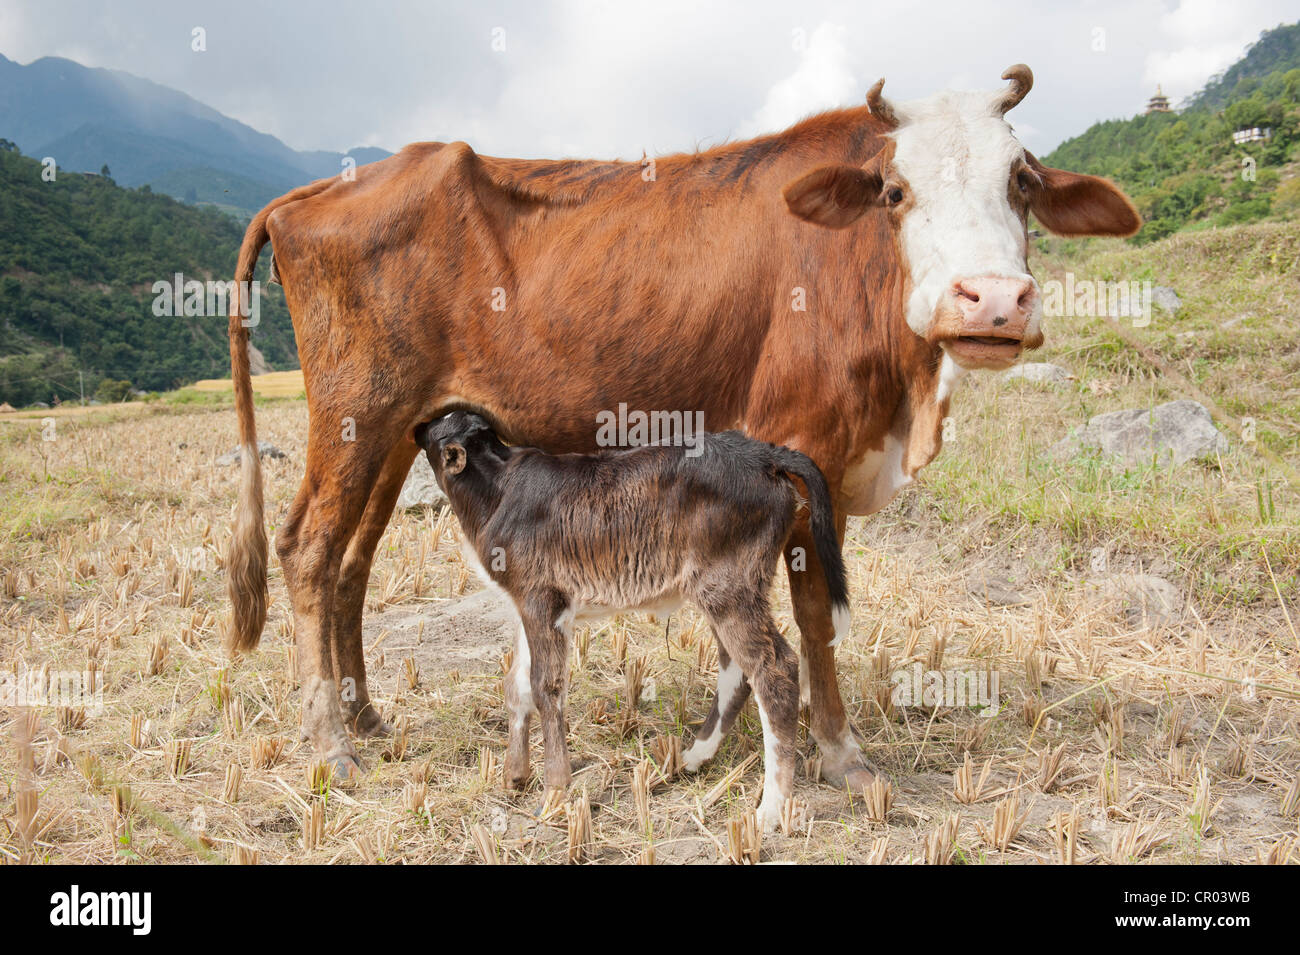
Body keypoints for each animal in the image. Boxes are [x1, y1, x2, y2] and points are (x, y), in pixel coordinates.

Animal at [224, 64, 1139, 787]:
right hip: (355, 412)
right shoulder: (805, 452)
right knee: (309, 549)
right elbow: (811, 616)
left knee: (352, 563)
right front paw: (839, 751)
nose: (991, 300)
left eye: (1022, 181)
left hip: (394, 431)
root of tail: (318, 191)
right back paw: (331, 742)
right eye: (894, 189)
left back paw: (367, 717)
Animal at [413, 411, 849, 829]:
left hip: (729, 586)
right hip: (721, 589)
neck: (497, 489)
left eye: (433, 430)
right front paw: (515, 776)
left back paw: (770, 809)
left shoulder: (541, 596)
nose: (417, 426)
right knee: (737, 670)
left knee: (774, 669)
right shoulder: (527, 603)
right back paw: (693, 757)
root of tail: (763, 453)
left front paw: (554, 793)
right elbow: (516, 683)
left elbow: (544, 686)